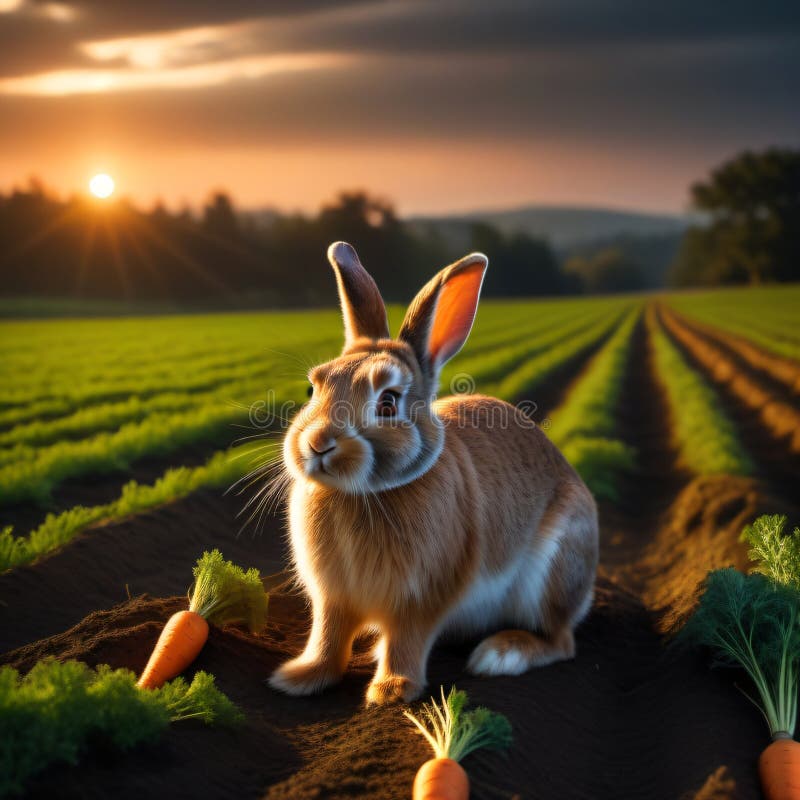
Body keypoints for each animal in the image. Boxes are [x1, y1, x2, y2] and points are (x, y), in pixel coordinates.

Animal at [269, 241, 599, 705]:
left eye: (388, 402)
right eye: (313, 388)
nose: (317, 444)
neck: (363, 492)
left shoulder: (422, 596)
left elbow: (407, 640)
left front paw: (391, 691)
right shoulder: (332, 598)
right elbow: (328, 638)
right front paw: (299, 678)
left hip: (553, 572)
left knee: (560, 641)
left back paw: (500, 655)